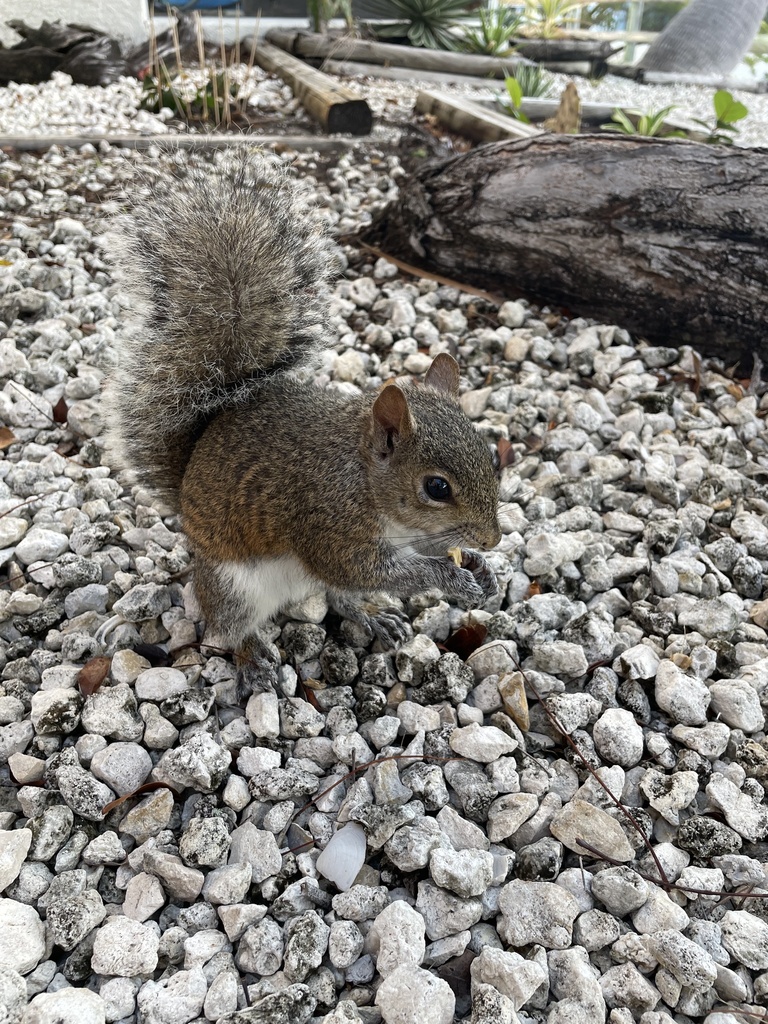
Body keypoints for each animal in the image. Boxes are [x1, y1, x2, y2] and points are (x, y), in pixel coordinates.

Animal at [106, 155, 501, 696]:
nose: (494, 539)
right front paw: (453, 578)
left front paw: (482, 568)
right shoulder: (330, 523)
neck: (364, 478)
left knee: (339, 595)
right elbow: (367, 566)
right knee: (228, 627)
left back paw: (371, 614)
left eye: (492, 456)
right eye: (436, 487)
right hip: (233, 587)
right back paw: (254, 658)